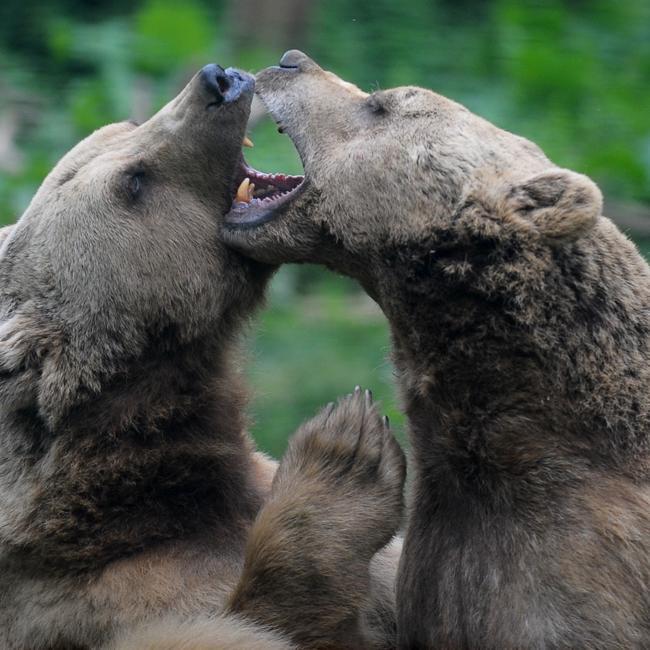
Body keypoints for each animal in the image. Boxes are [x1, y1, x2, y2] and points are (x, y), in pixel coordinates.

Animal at [0, 62, 406, 649]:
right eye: (134, 182)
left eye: (126, 125)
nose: (217, 79)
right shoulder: (96, 598)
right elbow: (249, 624)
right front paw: (344, 447)